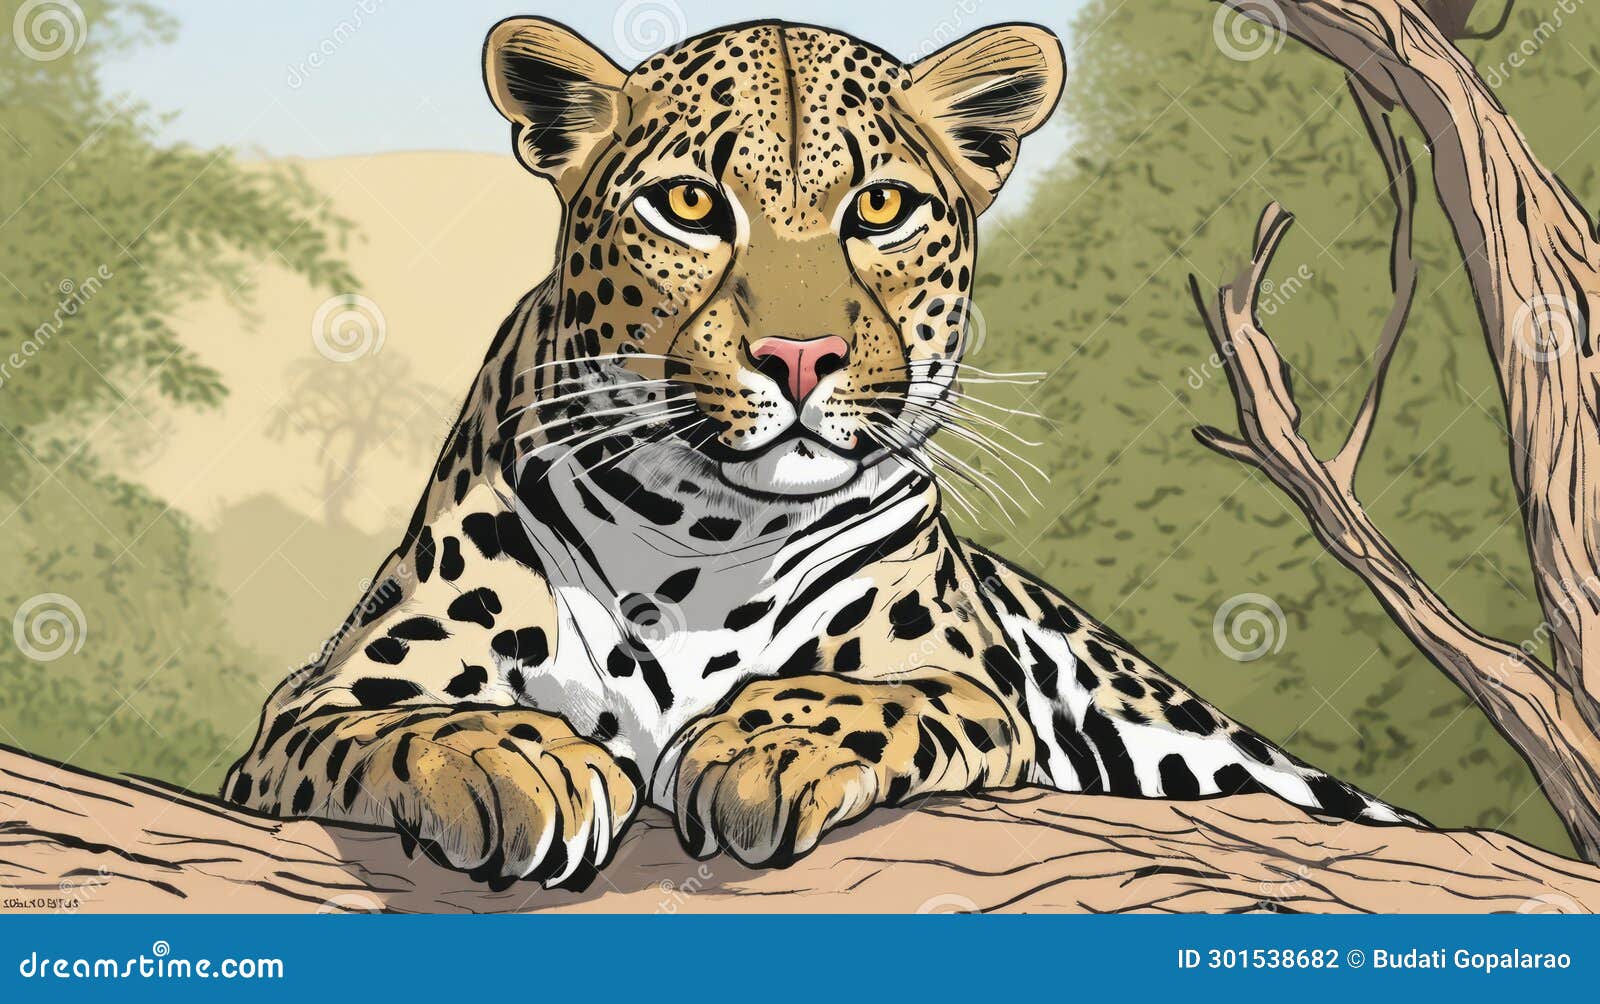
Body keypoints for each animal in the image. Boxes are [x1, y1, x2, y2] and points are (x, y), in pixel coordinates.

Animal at [225, 16, 1419, 890]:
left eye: (881, 207)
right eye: (690, 204)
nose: (800, 356)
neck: (697, 541)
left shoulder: (966, 680)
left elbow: (867, 696)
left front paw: (768, 748)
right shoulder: (312, 702)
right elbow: (407, 721)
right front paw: (514, 757)